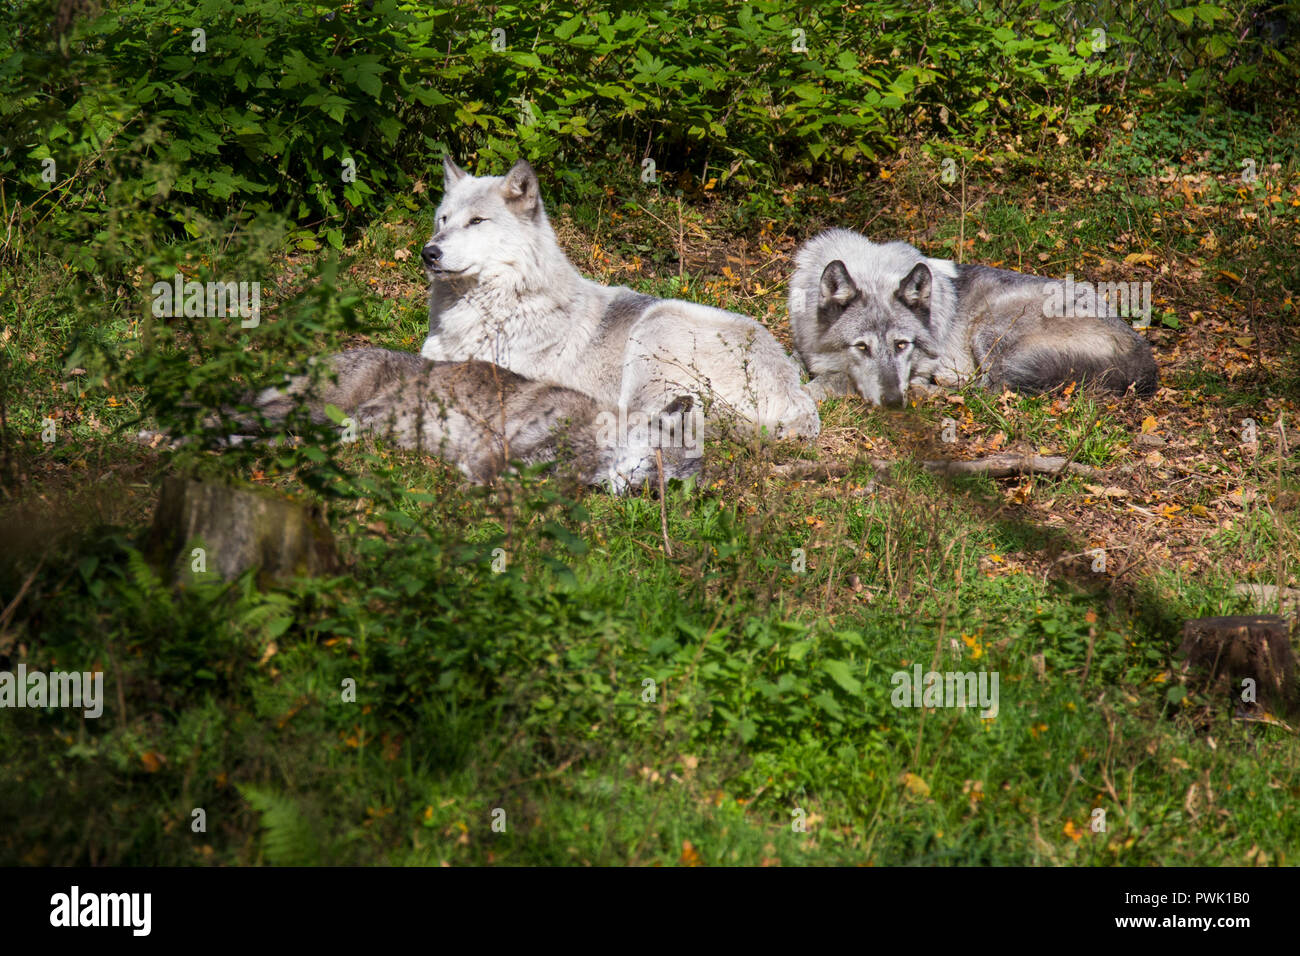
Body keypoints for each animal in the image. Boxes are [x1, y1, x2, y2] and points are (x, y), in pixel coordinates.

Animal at [228, 349, 702, 494]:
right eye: (659, 462)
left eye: (665, 490)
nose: (638, 491)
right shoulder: (493, 451)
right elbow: (482, 485)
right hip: (312, 413)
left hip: (322, 434)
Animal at [788, 228, 1158, 406]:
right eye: (862, 347)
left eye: (902, 345)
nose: (894, 401)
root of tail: (1144, 355)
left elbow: (826, 382)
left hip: (988, 327)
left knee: (987, 389)